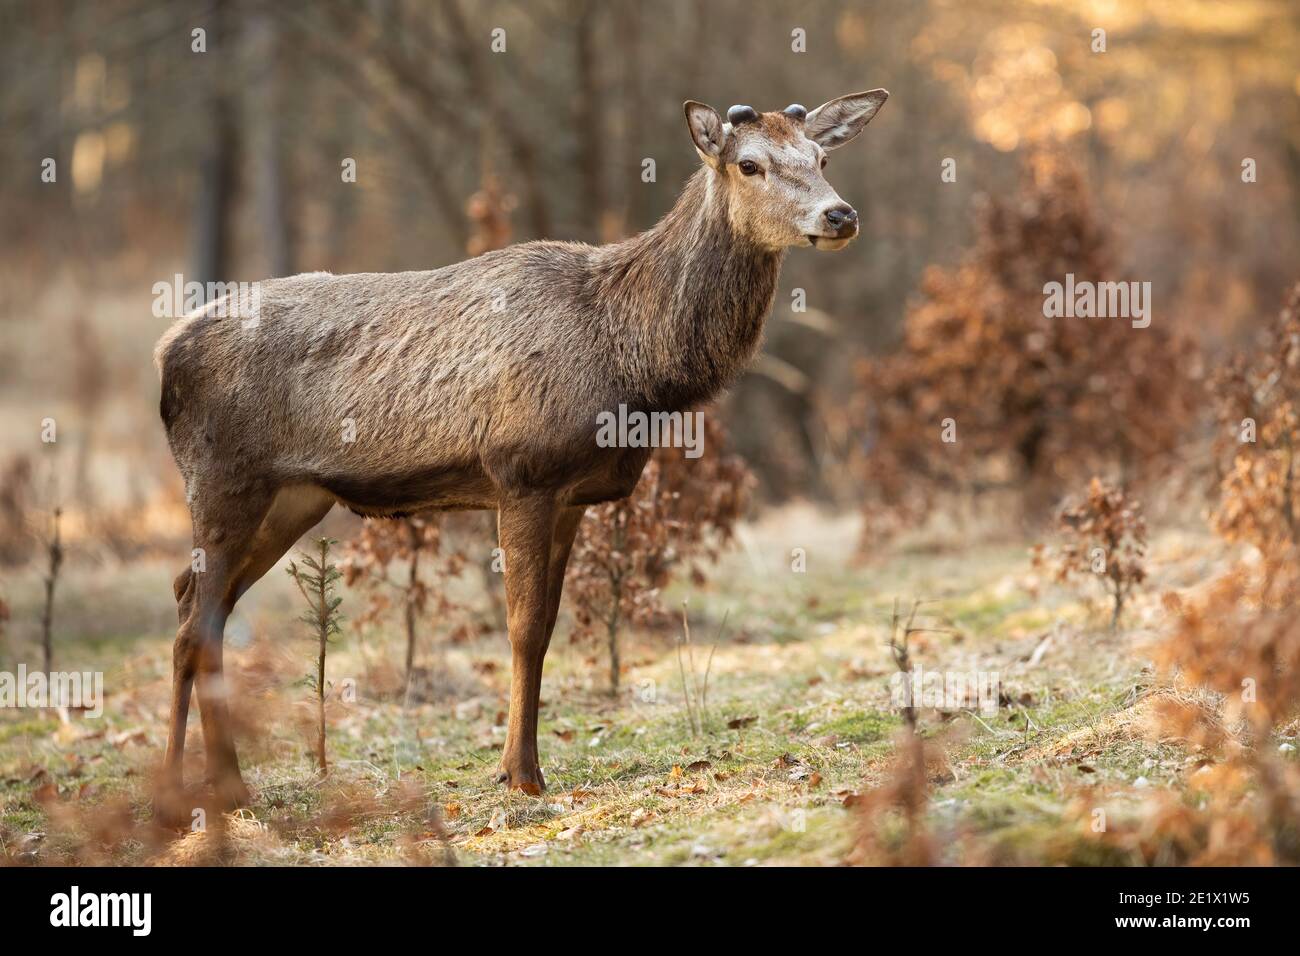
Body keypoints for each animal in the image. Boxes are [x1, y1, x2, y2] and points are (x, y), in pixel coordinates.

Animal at [151, 89, 888, 818]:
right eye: (749, 164)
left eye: (821, 157)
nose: (840, 214)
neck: (631, 362)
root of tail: (163, 355)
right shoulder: (522, 472)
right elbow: (523, 627)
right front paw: (521, 774)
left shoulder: (574, 495)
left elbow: (550, 626)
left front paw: (524, 765)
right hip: (221, 477)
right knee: (193, 622)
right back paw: (187, 789)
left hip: (291, 498)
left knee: (199, 603)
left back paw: (221, 785)